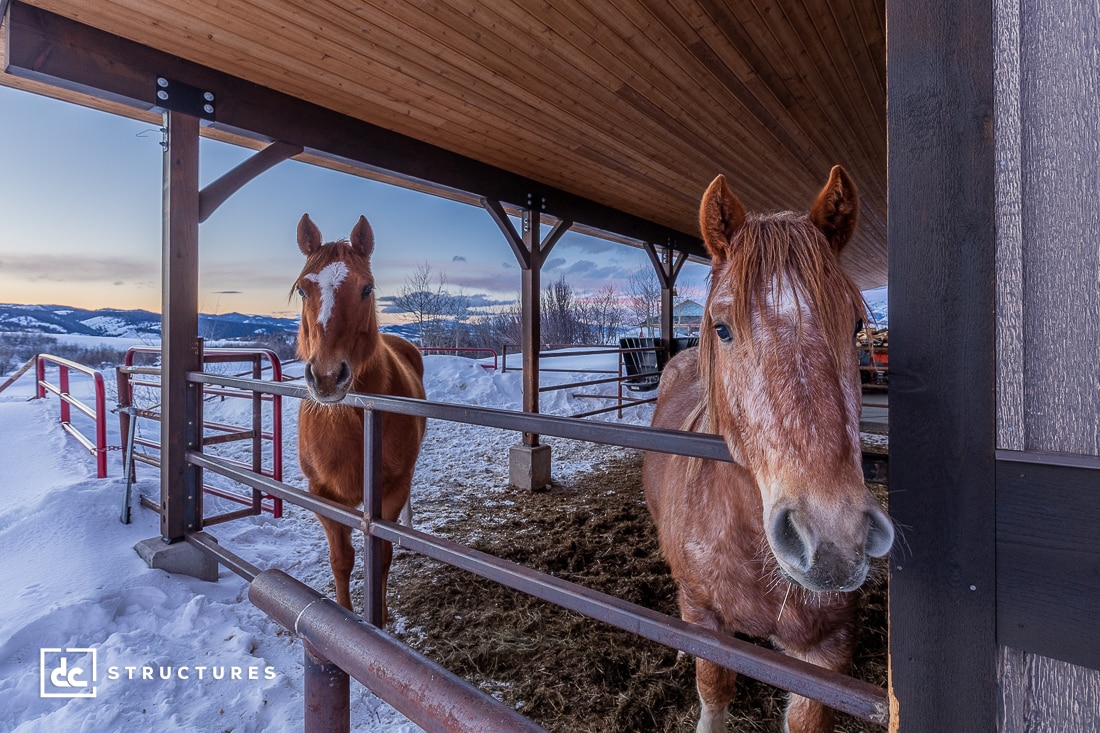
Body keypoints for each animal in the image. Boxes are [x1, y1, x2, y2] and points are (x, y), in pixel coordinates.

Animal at [292, 213, 426, 619]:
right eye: (303, 290)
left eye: (366, 289)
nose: (326, 376)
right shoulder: (322, 495)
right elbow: (342, 559)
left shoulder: (390, 489)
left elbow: (380, 555)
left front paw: (377, 618)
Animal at [643, 167, 895, 733]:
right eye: (722, 328)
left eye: (855, 325)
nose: (833, 538)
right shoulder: (706, 619)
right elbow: (713, 693)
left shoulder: (828, 649)